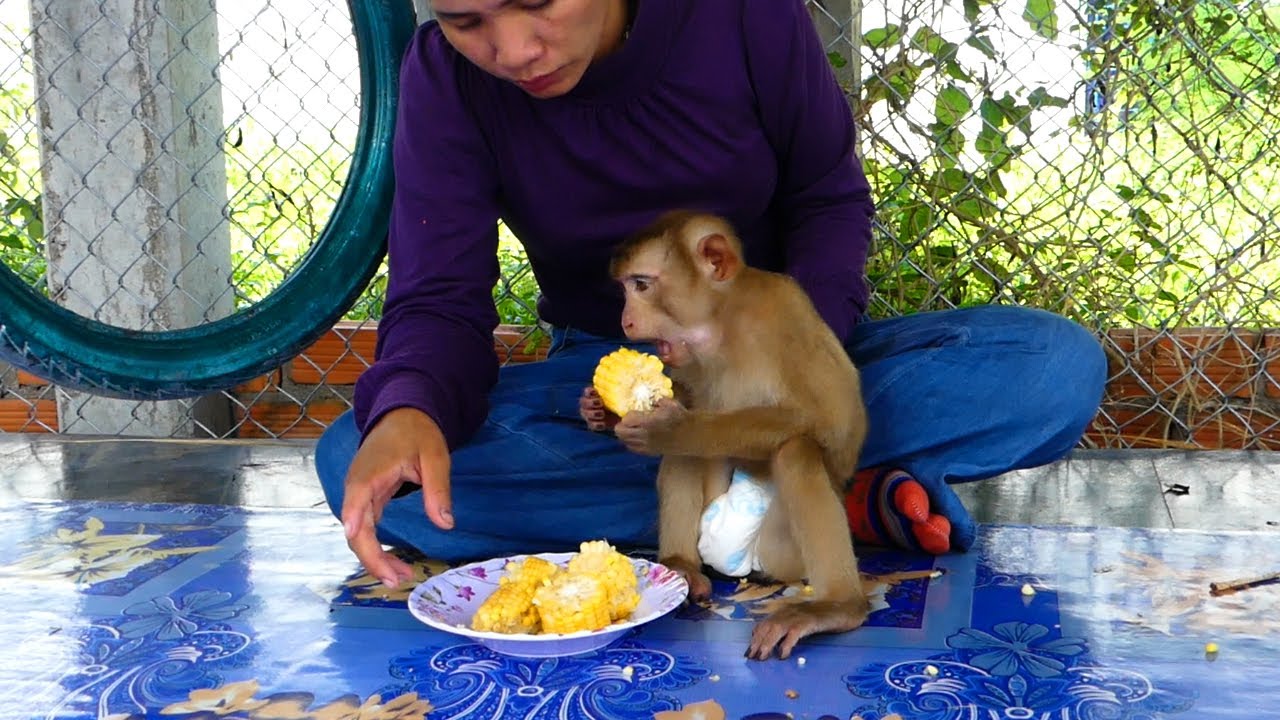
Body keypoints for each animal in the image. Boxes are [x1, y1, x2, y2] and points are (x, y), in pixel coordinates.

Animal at [604, 209, 872, 661]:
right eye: (623, 288)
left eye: (641, 285)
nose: (625, 320)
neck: (722, 321)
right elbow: (683, 396)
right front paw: (596, 407)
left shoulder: (783, 309)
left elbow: (835, 420)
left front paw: (677, 427)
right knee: (688, 458)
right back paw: (681, 565)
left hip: (782, 551)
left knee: (797, 451)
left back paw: (837, 606)